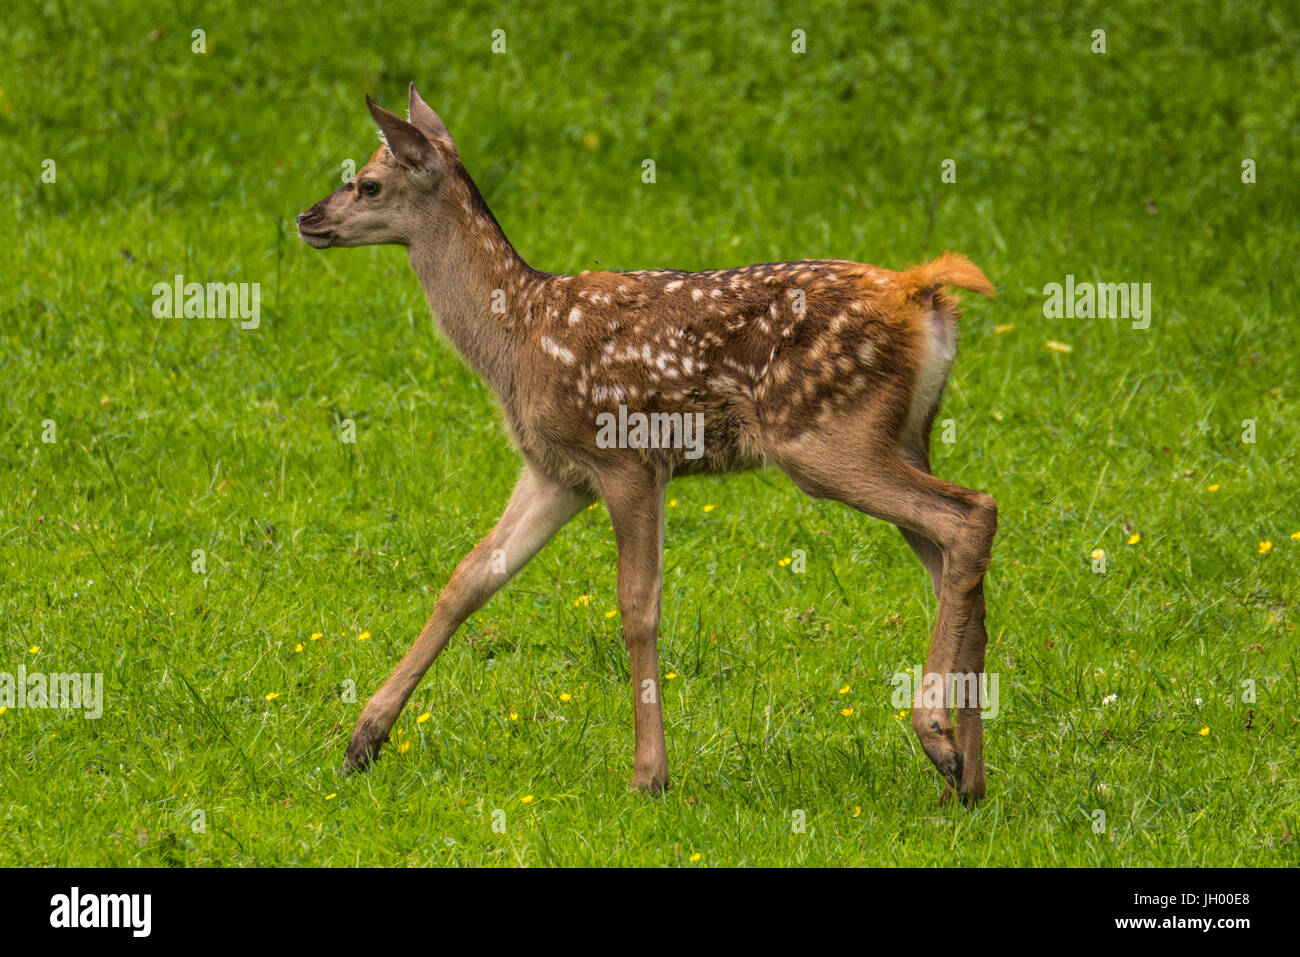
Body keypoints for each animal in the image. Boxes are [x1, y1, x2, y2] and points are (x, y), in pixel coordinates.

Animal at [297, 83, 998, 804]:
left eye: (368, 183)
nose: (306, 218)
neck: (516, 339)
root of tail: (922, 292)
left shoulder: (626, 458)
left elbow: (638, 606)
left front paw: (649, 774)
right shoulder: (556, 473)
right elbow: (467, 580)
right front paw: (362, 740)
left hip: (824, 434)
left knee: (969, 513)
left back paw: (936, 736)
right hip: (903, 436)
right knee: (960, 564)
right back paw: (965, 780)